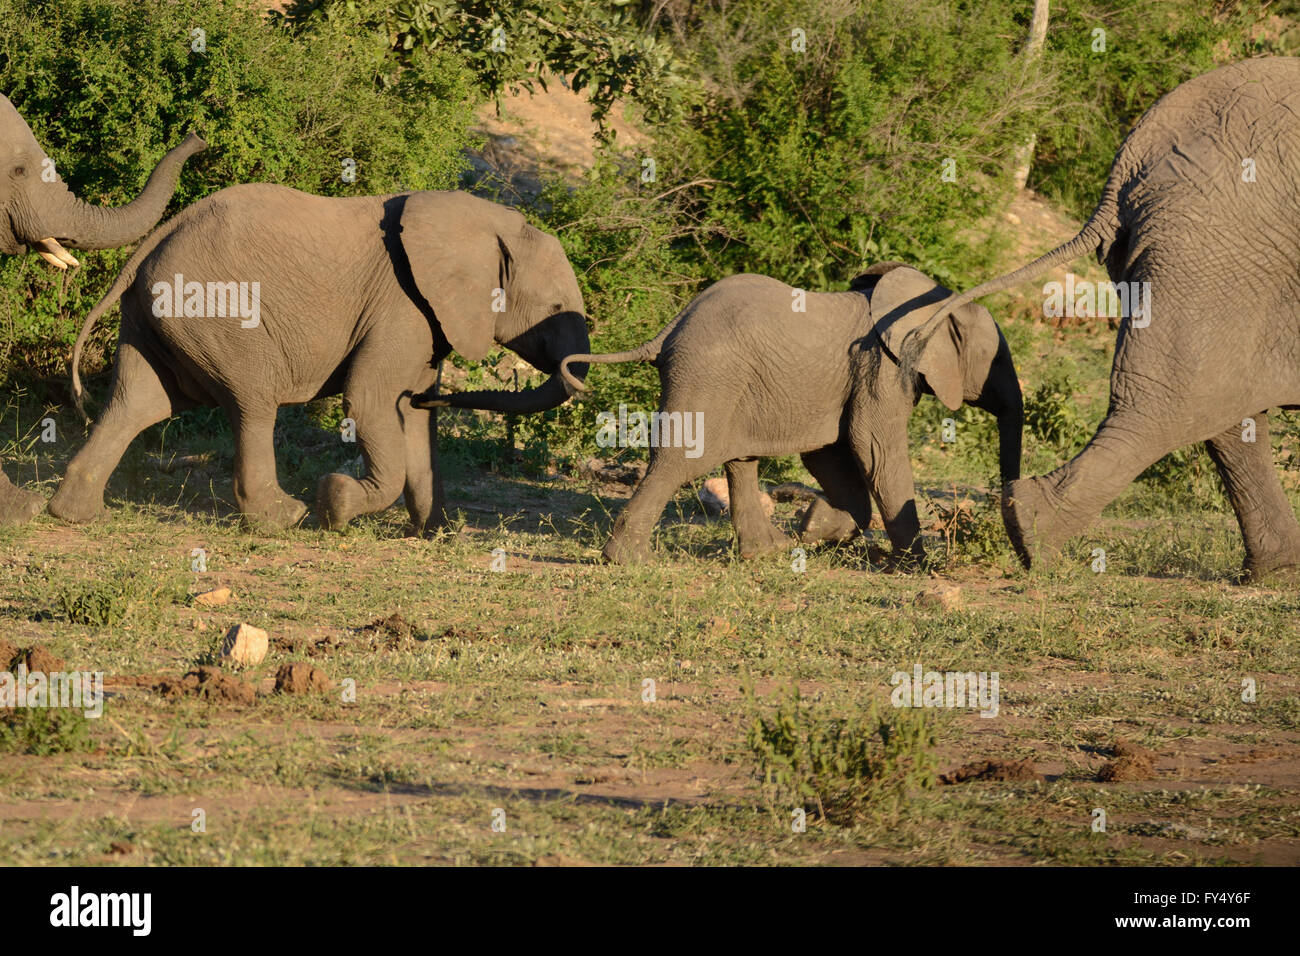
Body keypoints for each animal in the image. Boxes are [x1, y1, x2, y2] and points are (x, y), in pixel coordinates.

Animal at [48, 184, 590, 532]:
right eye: (554, 309)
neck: (490, 223)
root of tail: (155, 238)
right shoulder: (403, 306)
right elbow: (369, 401)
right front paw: (337, 503)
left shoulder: (427, 319)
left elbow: (415, 422)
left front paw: (433, 532)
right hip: (215, 313)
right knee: (252, 402)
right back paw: (285, 518)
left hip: (158, 315)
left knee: (137, 403)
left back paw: (74, 514)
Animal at [546, 263, 1022, 564]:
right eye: (998, 360)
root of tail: (670, 328)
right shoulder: (882, 366)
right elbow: (874, 448)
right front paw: (921, 566)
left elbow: (832, 453)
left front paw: (814, 529)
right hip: (710, 374)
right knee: (680, 459)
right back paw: (629, 561)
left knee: (740, 460)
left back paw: (767, 552)